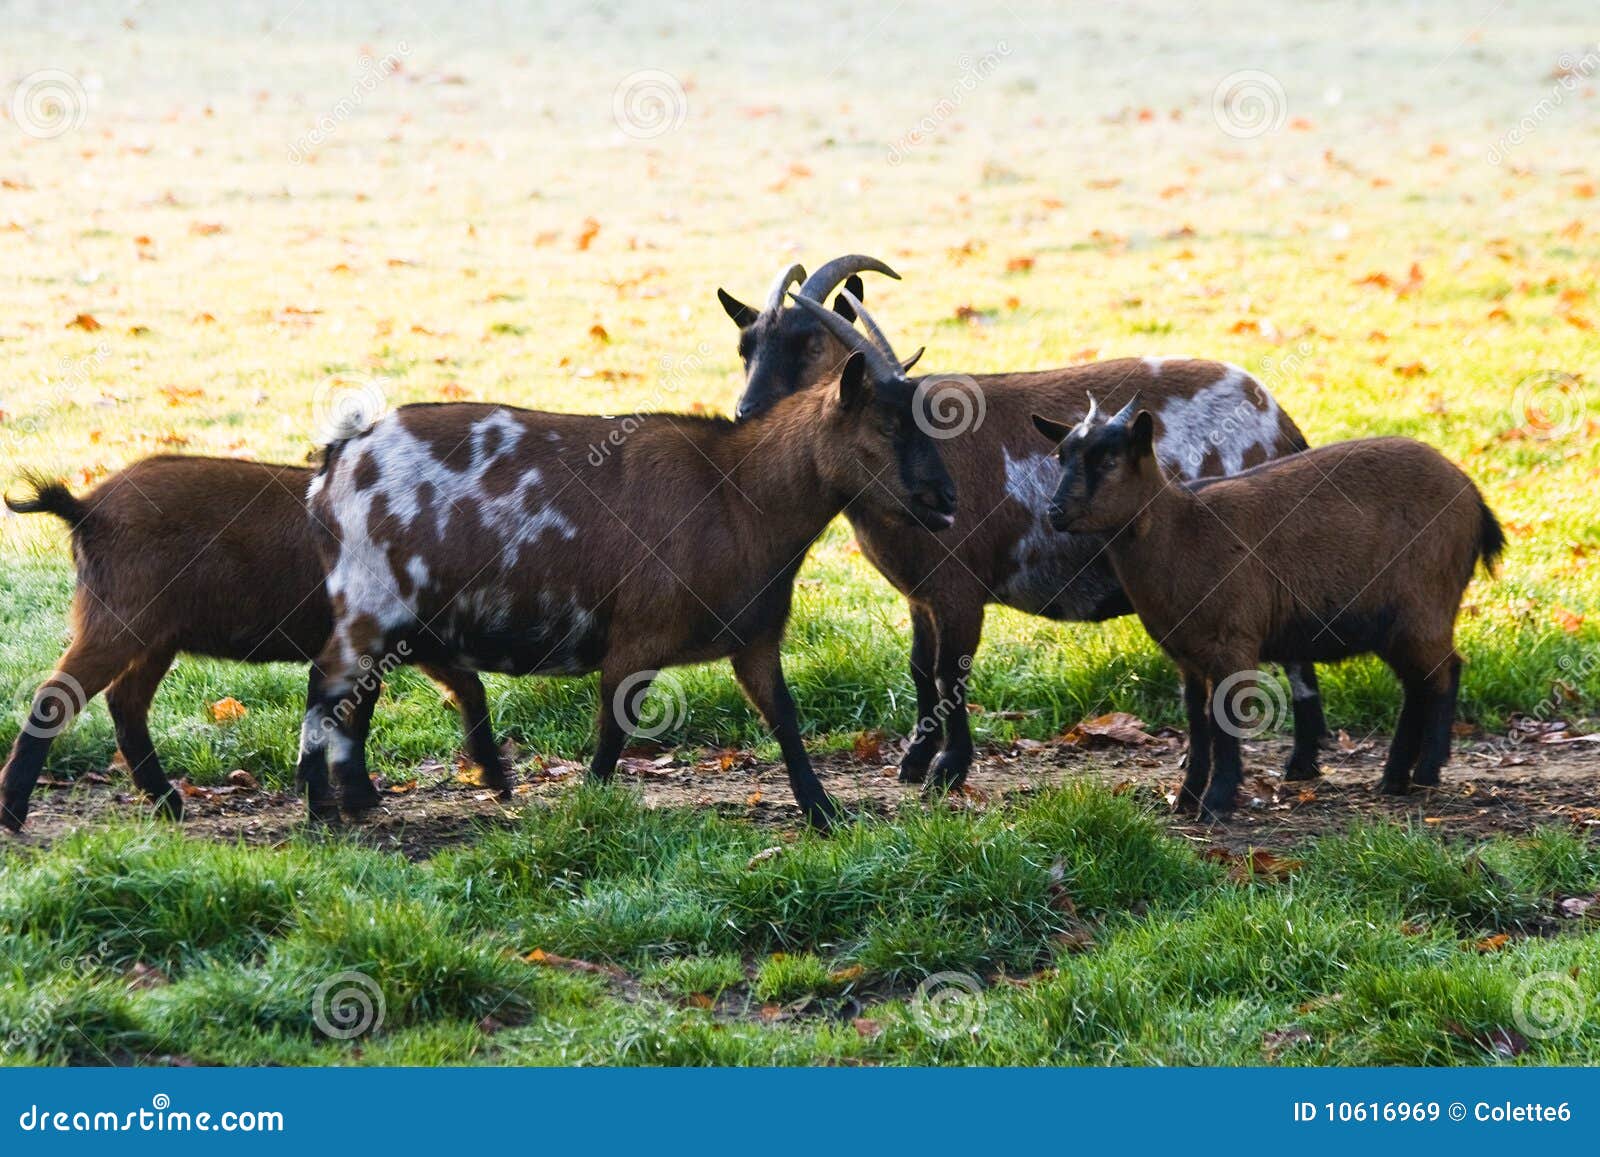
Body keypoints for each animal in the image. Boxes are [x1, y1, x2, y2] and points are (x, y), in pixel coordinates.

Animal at [0, 457, 510, 832]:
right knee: (56, 694)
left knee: (125, 701)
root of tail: (86, 508)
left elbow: (386, 709)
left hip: (157, 636)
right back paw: (12, 812)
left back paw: (169, 804)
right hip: (120, 620)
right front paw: (330, 805)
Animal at [297, 347, 956, 830]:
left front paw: (823, 813)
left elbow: (784, 719)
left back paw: (363, 795)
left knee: (363, 689)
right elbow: (615, 728)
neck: (737, 496)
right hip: (371, 600)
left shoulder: (756, 641)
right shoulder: (636, 637)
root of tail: (336, 461)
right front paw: (589, 804)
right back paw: (322, 801)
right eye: (887, 423)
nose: (946, 499)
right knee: (329, 680)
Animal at [722, 256, 1330, 791]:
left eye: (811, 344)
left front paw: (948, 770)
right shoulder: (922, 593)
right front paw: (916, 760)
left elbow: (950, 673)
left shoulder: (958, 587)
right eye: (745, 346)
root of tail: (1279, 421)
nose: (747, 414)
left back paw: (1300, 760)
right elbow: (919, 669)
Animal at [1034, 397, 1505, 819]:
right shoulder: (1186, 654)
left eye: (1110, 461)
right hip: (1394, 621)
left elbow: (1222, 721)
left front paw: (1216, 803)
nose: (1055, 512)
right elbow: (1197, 724)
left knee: (1444, 673)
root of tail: (1475, 498)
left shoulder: (1233, 639)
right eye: (1061, 456)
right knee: (1418, 684)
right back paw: (1394, 779)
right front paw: (1186, 799)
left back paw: (1426, 772)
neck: (1182, 531)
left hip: (1425, 604)